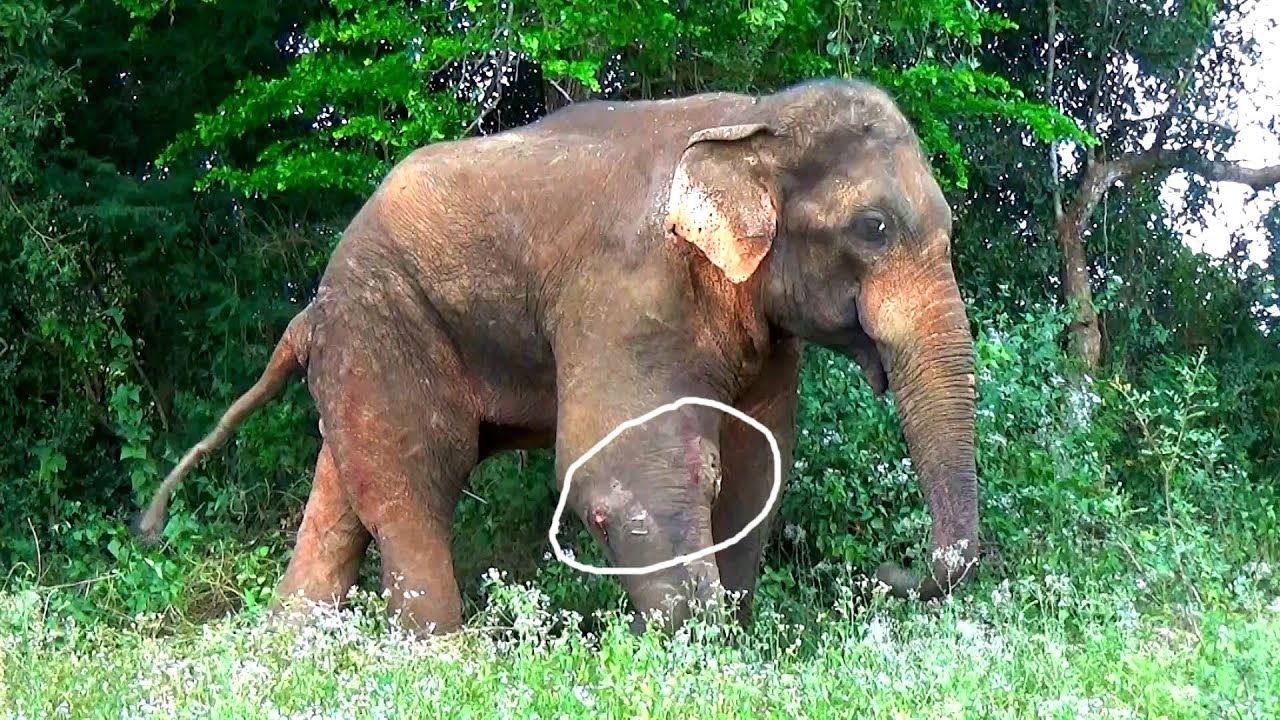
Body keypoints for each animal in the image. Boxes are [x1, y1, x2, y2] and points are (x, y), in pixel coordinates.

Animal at [135, 77, 980, 637]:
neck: (754, 121)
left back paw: (295, 643)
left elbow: (753, 464)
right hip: (387, 320)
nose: (889, 572)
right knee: (415, 480)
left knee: (346, 483)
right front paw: (703, 650)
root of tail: (308, 309)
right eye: (873, 228)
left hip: (365, 342)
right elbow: (624, 466)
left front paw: (736, 641)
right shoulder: (629, 289)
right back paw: (442, 656)